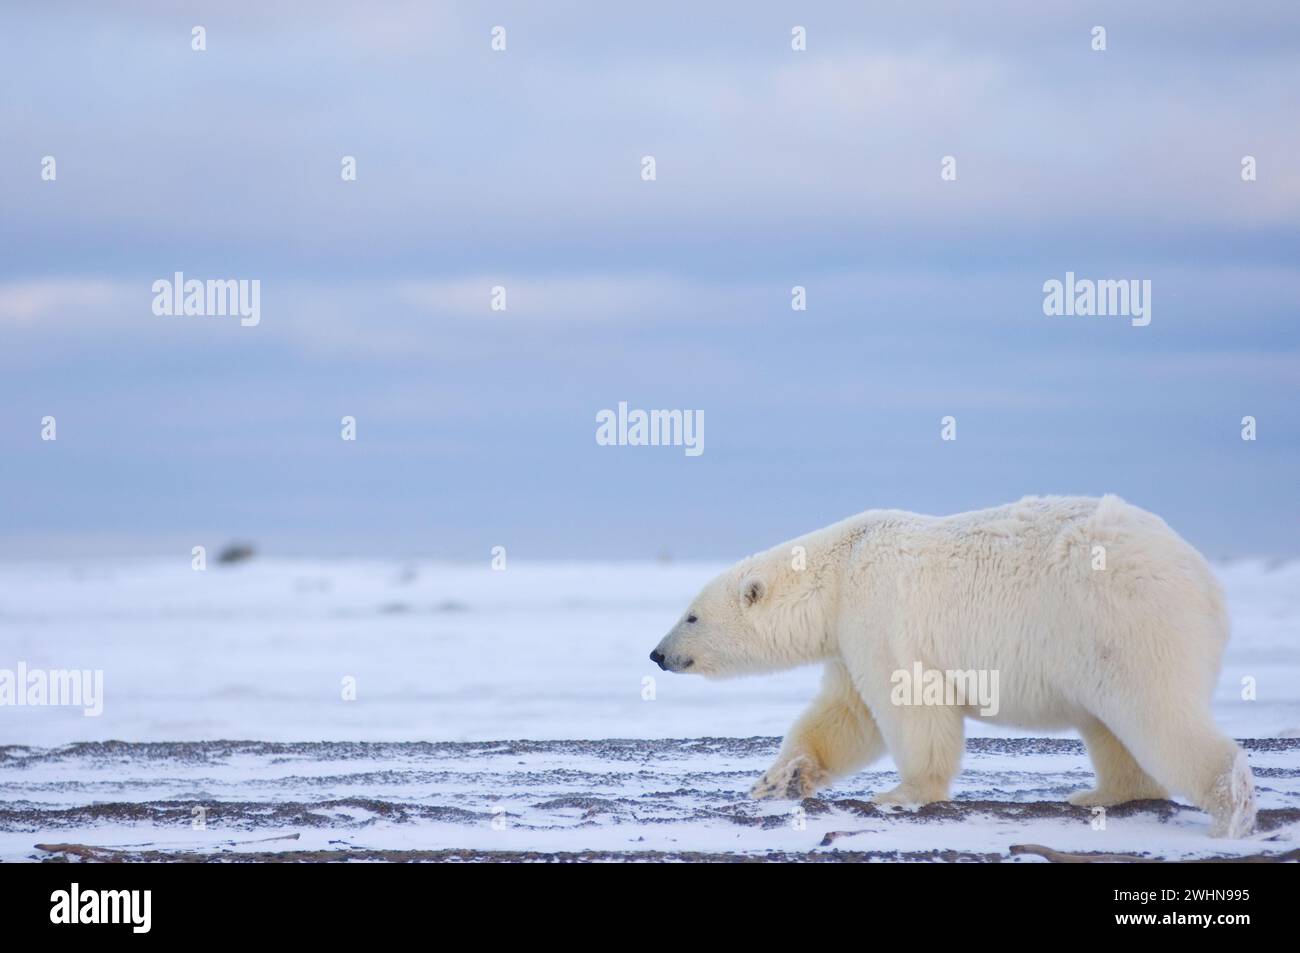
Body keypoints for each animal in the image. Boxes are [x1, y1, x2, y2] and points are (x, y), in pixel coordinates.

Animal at [650, 495, 1256, 838]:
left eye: (691, 615)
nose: (657, 654)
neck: (839, 570)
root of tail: (1206, 580)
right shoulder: (851, 633)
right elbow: (848, 713)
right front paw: (780, 778)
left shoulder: (879, 611)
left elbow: (907, 704)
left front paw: (903, 792)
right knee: (1109, 724)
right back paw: (1103, 794)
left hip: (1125, 622)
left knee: (1157, 714)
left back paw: (1229, 811)